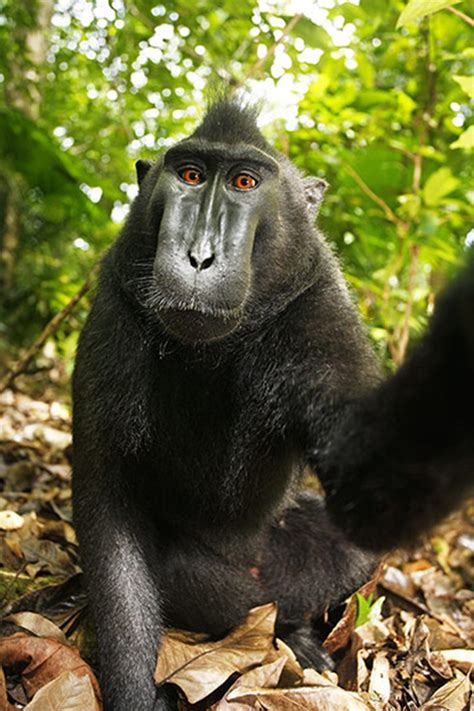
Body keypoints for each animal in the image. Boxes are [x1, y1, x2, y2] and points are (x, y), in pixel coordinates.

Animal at [72, 98, 474, 710]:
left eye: (244, 182)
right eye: (190, 175)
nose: (199, 257)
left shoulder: (318, 310)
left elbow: (370, 494)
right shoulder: (115, 311)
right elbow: (108, 505)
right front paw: (135, 695)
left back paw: (299, 635)